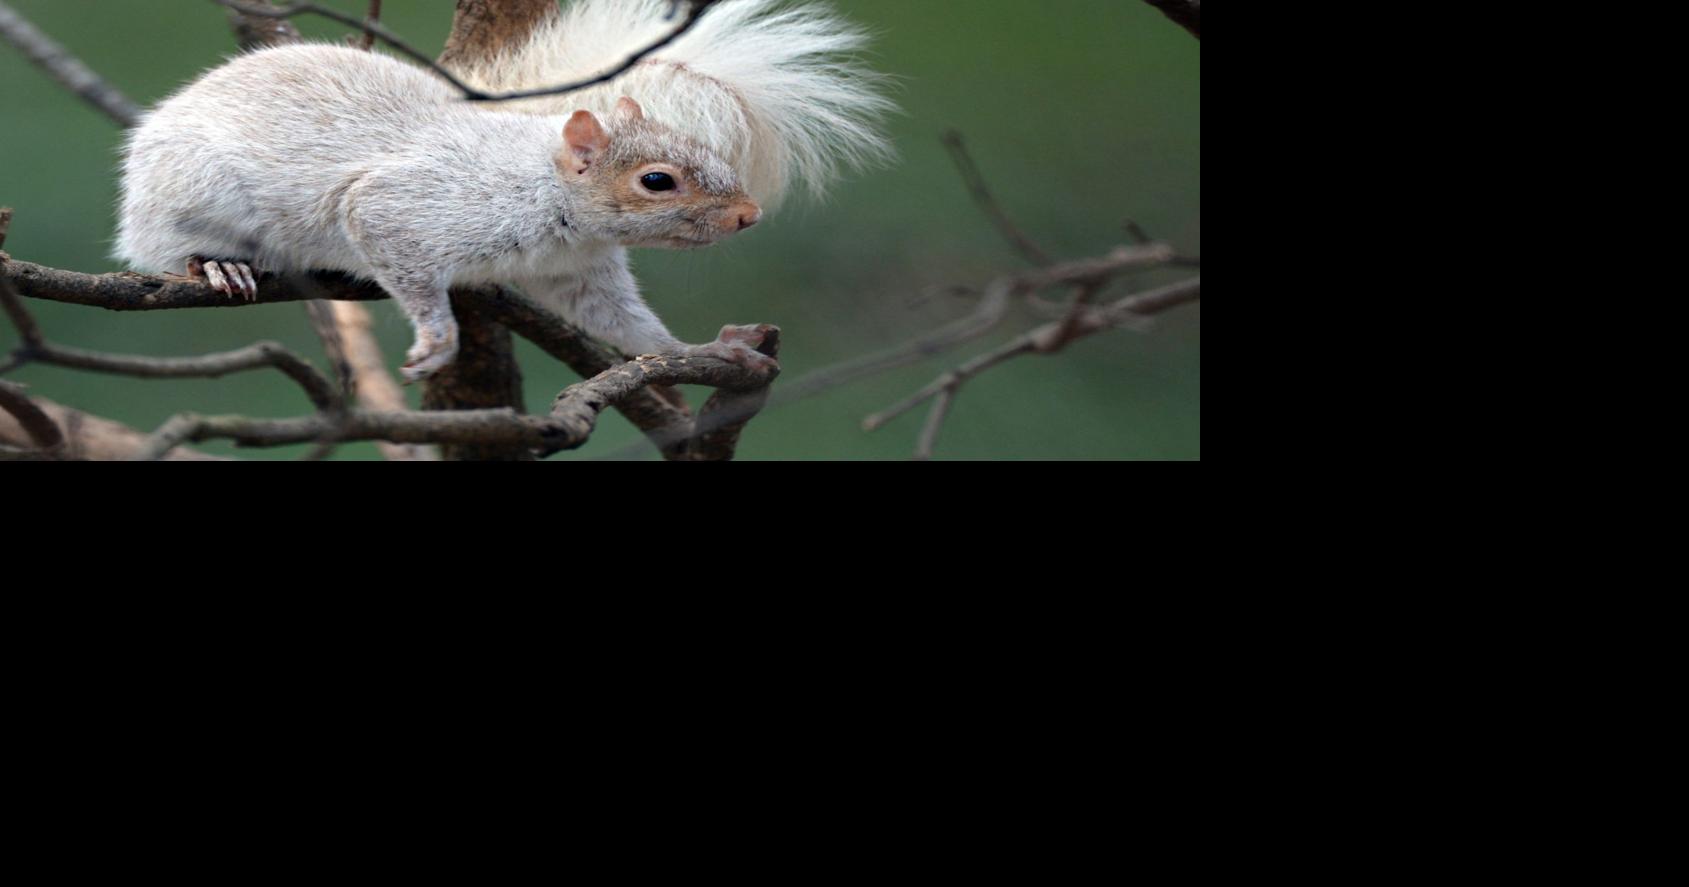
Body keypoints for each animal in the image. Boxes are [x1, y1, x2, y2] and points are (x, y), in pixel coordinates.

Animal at [114, 0, 892, 381]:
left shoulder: (580, 274)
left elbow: (631, 330)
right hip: (186, 194)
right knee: (162, 250)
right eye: (656, 180)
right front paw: (438, 338)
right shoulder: (408, 206)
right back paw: (217, 262)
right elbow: (397, 251)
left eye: (704, 151)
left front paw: (707, 350)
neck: (548, 196)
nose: (748, 214)